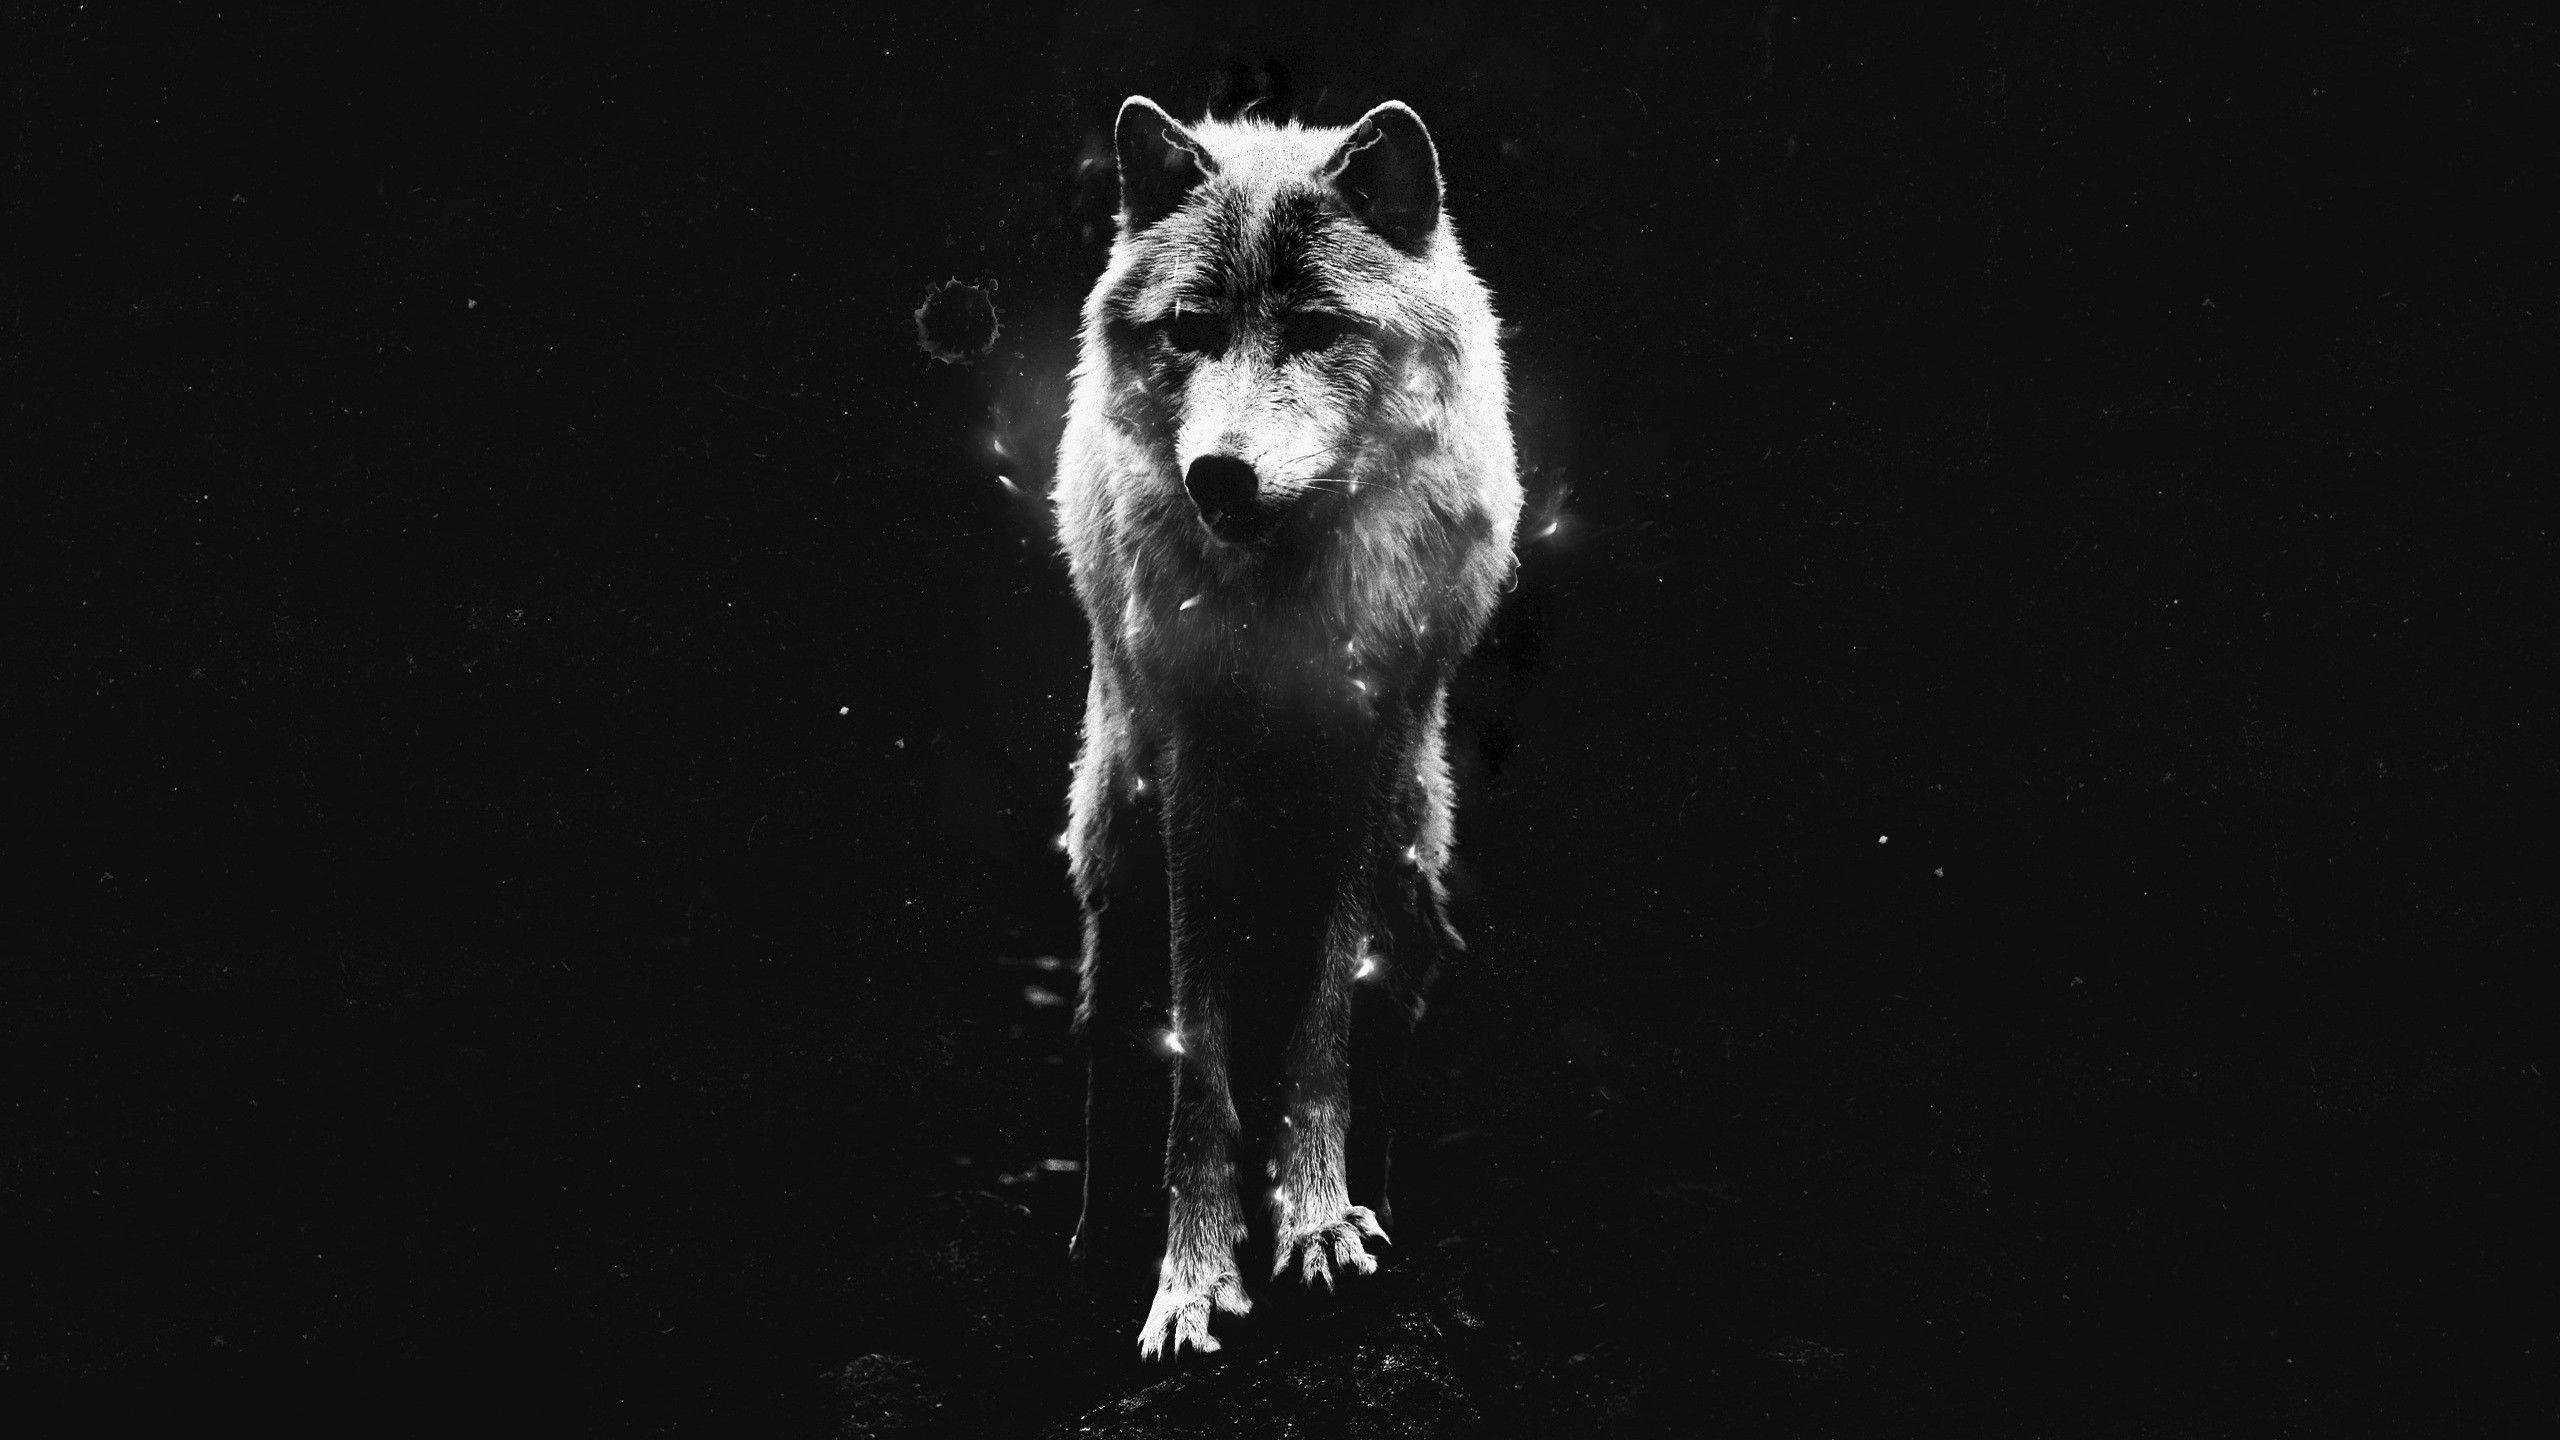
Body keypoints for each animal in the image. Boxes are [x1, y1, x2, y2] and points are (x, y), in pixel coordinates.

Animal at [1053, 93, 1520, 1361]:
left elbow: (1321, 1028)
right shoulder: (1190, 779)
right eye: (1191, 329)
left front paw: (1318, 1222)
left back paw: (1379, 1193)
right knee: (1110, 1034)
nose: (1217, 475)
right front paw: (1189, 1276)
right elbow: (1196, 1065)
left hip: (1416, 850)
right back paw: (1092, 1240)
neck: (1284, 607)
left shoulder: (1367, 766)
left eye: (1314, 329)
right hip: (1113, 845)